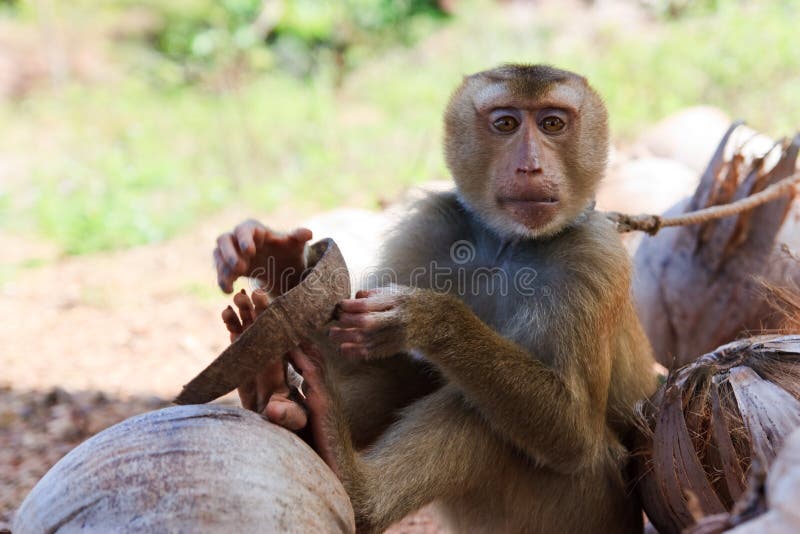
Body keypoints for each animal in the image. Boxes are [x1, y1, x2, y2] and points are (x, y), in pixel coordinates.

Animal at [214, 64, 657, 533]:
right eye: (506, 123)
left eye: (553, 123)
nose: (530, 168)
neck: (508, 243)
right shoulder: (432, 226)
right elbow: (351, 347)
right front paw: (276, 261)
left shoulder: (595, 256)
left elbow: (574, 434)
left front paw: (427, 319)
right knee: (409, 377)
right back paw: (275, 397)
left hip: (584, 510)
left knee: (480, 413)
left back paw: (356, 486)